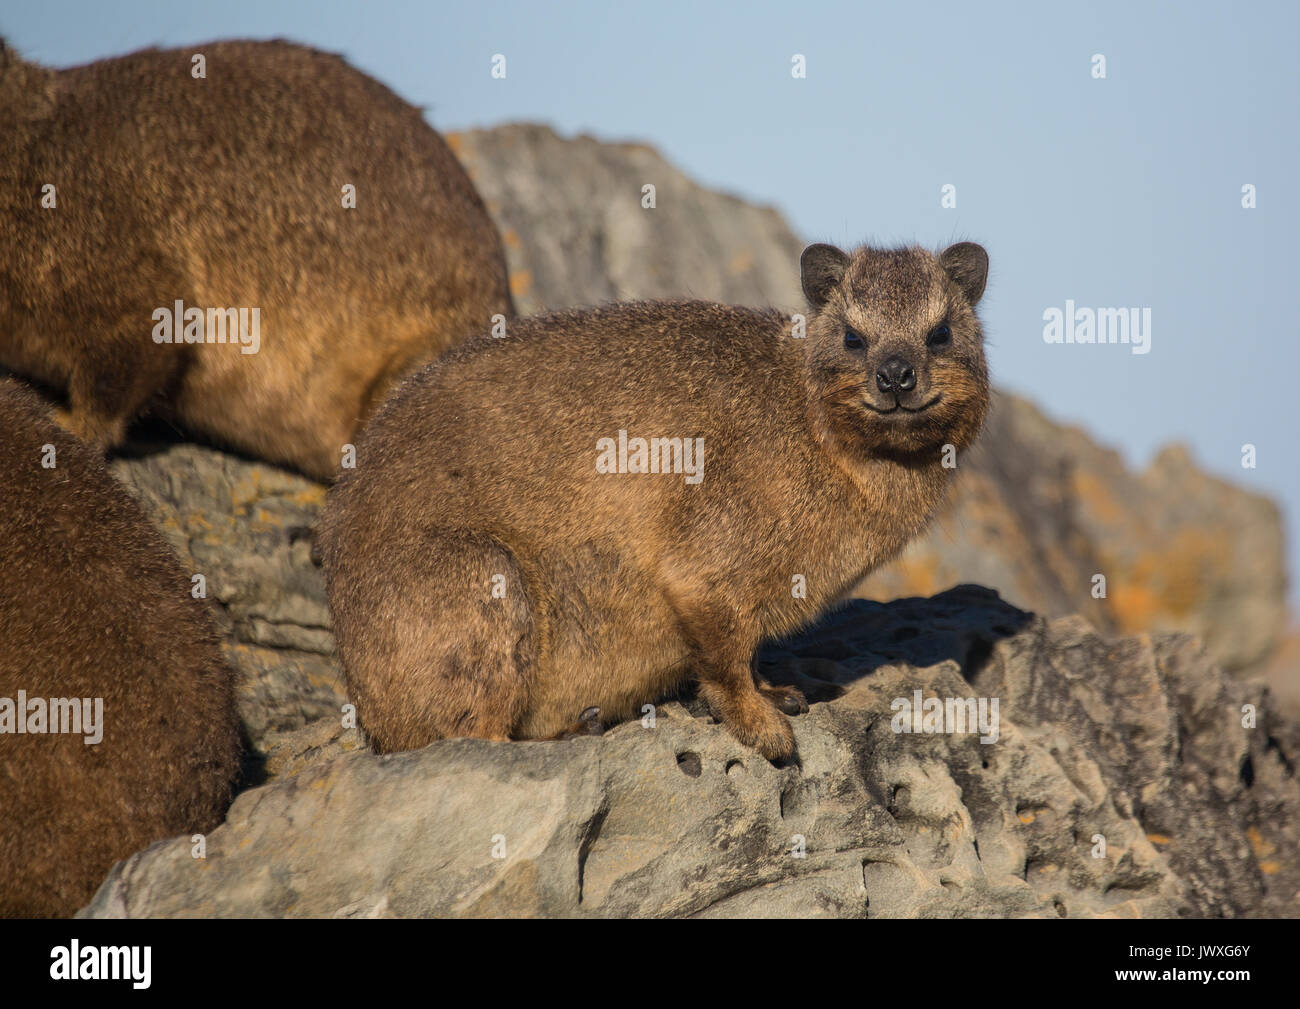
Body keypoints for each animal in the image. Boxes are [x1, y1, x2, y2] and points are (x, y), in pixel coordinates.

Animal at [319, 242, 989, 760]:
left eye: (940, 333)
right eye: (853, 337)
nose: (896, 374)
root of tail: (362, 695)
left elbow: (745, 653)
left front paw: (776, 692)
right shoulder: (708, 558)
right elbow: (723, 656)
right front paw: (762, 727)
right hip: (475, 579)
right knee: (465, 737)